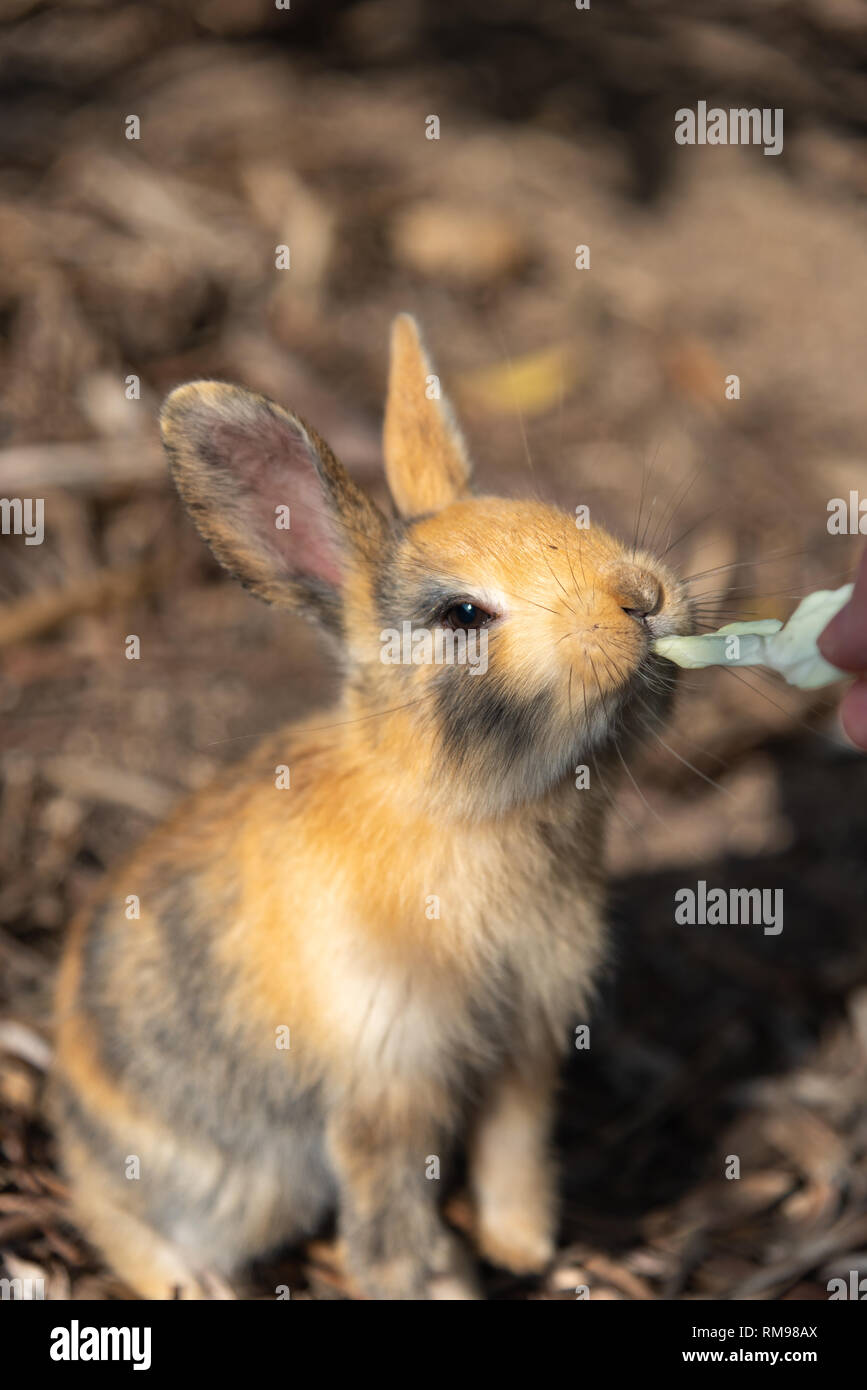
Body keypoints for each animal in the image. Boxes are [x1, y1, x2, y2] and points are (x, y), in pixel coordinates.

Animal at [51, 314, 692, 1300]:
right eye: (462, 615)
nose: (644, 598)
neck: (460, 811)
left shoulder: (522, 1046)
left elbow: (512, 1152)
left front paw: (519, 1248)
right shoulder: (386, 1083)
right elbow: (388, 1214)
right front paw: (430, 1282)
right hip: (233, 1181)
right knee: (114, 1214)